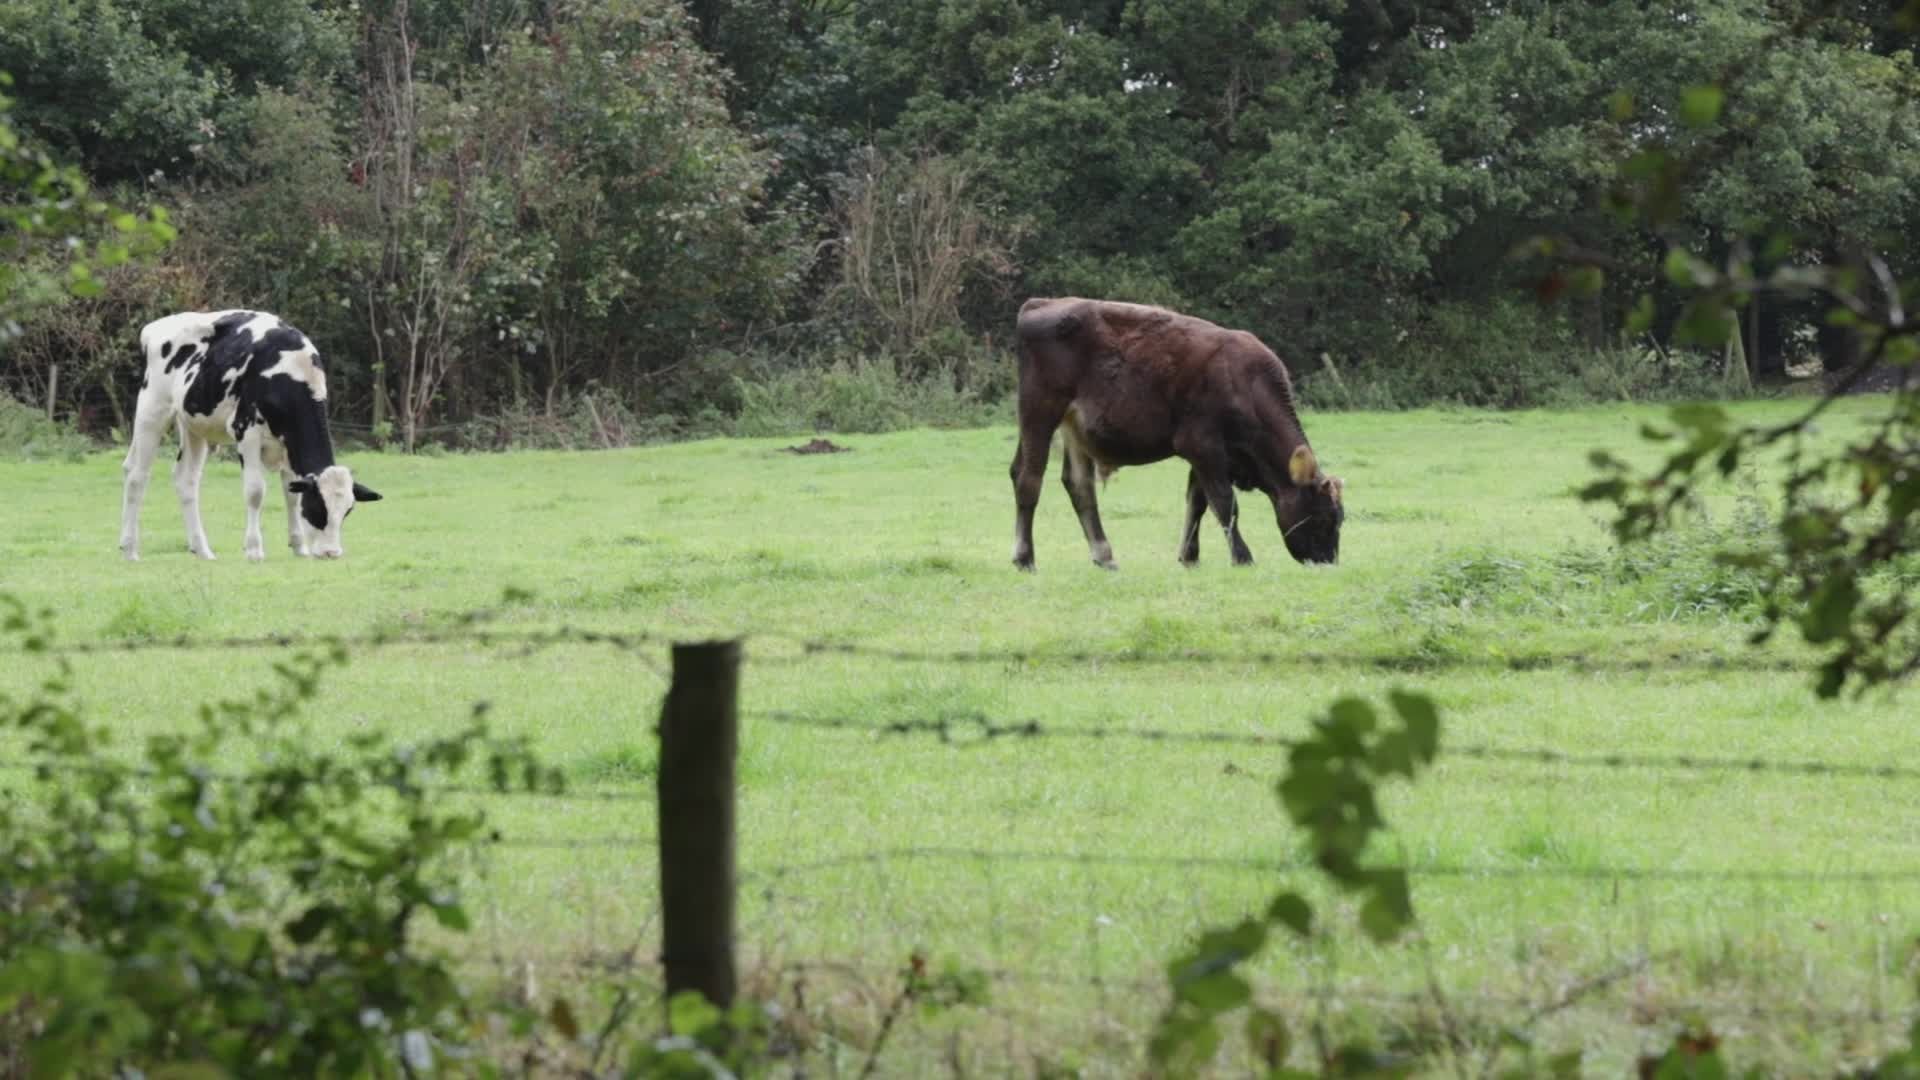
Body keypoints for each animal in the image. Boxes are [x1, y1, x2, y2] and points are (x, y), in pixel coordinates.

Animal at [119, 310, 382, 562]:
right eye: (317, 508)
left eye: (347, 511)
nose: (331, 553)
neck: (290, 371)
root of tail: (154, 327)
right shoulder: (246, 431)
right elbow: (255, 492)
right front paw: (254, 550)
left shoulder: (288, 443)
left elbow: (291, 494)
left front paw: (298, 547)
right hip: (152, 410)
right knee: (136, 477)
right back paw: (130, 549)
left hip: (194, 425)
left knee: (186, 481)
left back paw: (202, 550)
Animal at [1009, 297, 1343, 571]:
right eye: (1325, 517)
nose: (1328, 562)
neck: (1245, 385)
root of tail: (1040, 303)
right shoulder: (1203, 446)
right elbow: (1225, 502)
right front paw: (1242, 556)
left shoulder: (1209, 456)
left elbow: (1198, 503)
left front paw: (1189, 555)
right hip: (1039, 412)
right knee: (1028, 477)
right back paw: (1025, 558)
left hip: (1073, 427)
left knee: (1079, 486)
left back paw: (1104, 556)